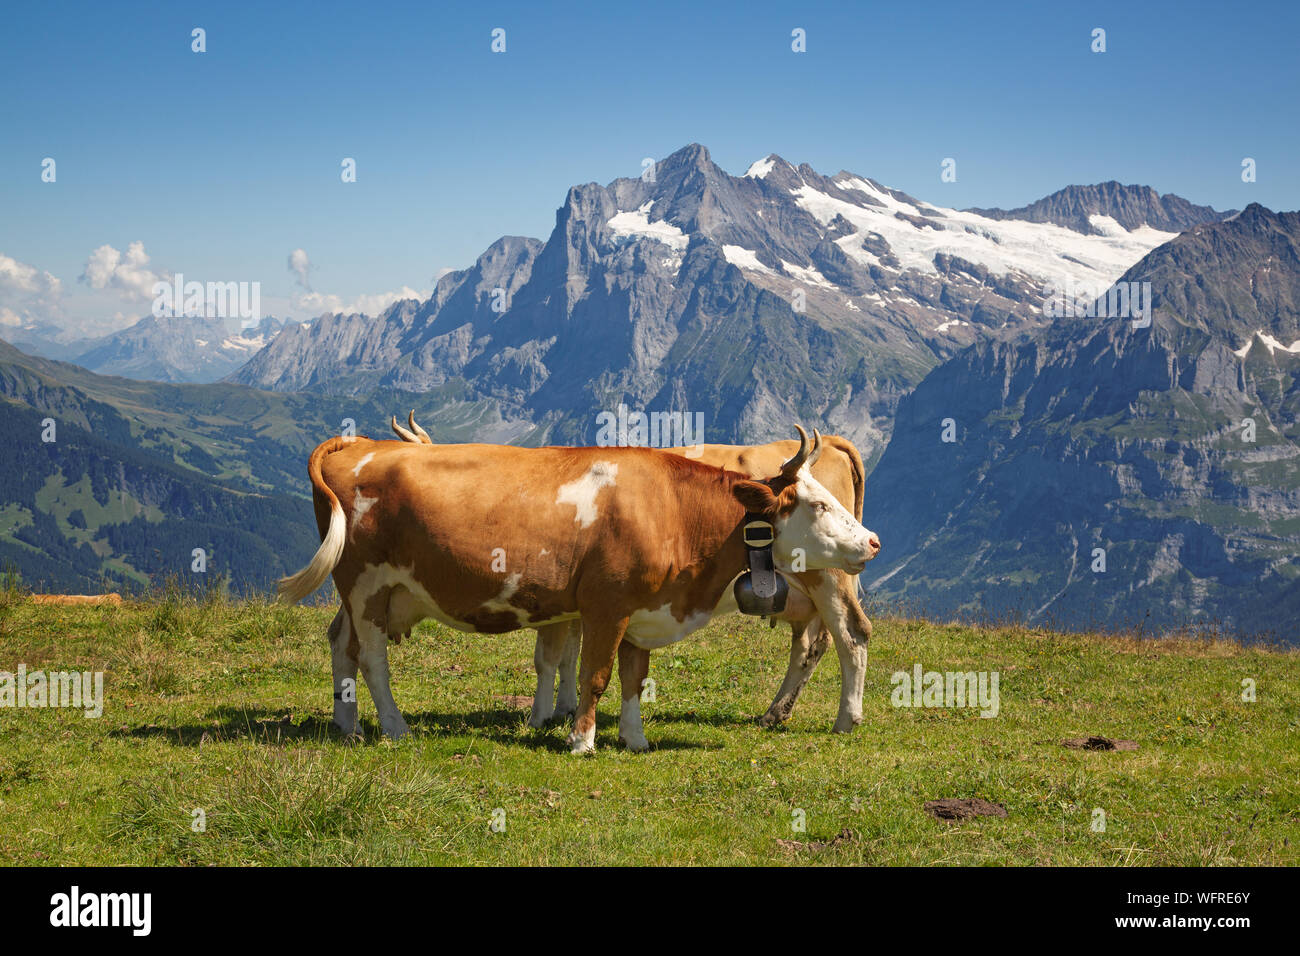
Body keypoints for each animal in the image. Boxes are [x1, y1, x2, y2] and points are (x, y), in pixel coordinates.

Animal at [277, 425, 881, 752]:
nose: (873, 541)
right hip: (364, 584)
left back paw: (349, 725)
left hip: (370, 592)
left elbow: (633, 677)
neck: (674, 510)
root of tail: (359, 445)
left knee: (343, 646)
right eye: (816, 505)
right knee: (371, 656)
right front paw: (581, 739)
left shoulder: (641, 607)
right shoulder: (604, 605)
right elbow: (593, 674)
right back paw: (395, 727)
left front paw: (634, 738)